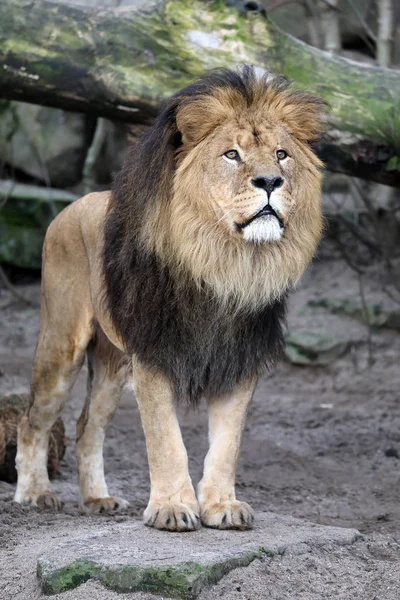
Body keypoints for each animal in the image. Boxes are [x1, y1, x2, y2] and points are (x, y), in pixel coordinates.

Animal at [13, 68, 324, 532]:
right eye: (232, 155)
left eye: (282, 154)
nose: (271, 181)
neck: (227, 265)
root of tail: (75, 203)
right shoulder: (153, 354)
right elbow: (166, 439)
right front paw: (173, 508)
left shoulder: (240, 359)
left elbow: (227, 443)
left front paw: (222, 505)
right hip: (61, 343)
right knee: (34, 419)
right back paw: (34, 493)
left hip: (112, 365)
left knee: (89, 427)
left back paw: (97, 499)